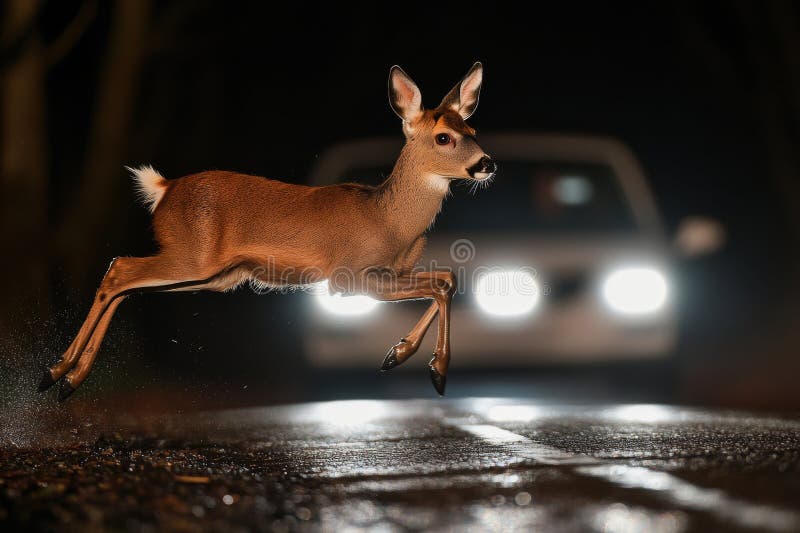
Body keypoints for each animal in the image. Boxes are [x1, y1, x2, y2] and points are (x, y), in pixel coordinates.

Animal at [39, 62, 496, 401]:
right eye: (444, 137)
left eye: (472, 131)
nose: (486, 164)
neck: (389, 219)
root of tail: (163, 189)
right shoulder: (346, 277)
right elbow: (439, 285)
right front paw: (432, 369)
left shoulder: (392, 271)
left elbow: (446, 278)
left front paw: (400, 355)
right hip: (193, 256)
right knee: (119, 269)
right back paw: (56, 374)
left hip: (213, 274)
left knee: (126, 283)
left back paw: (67, 380)